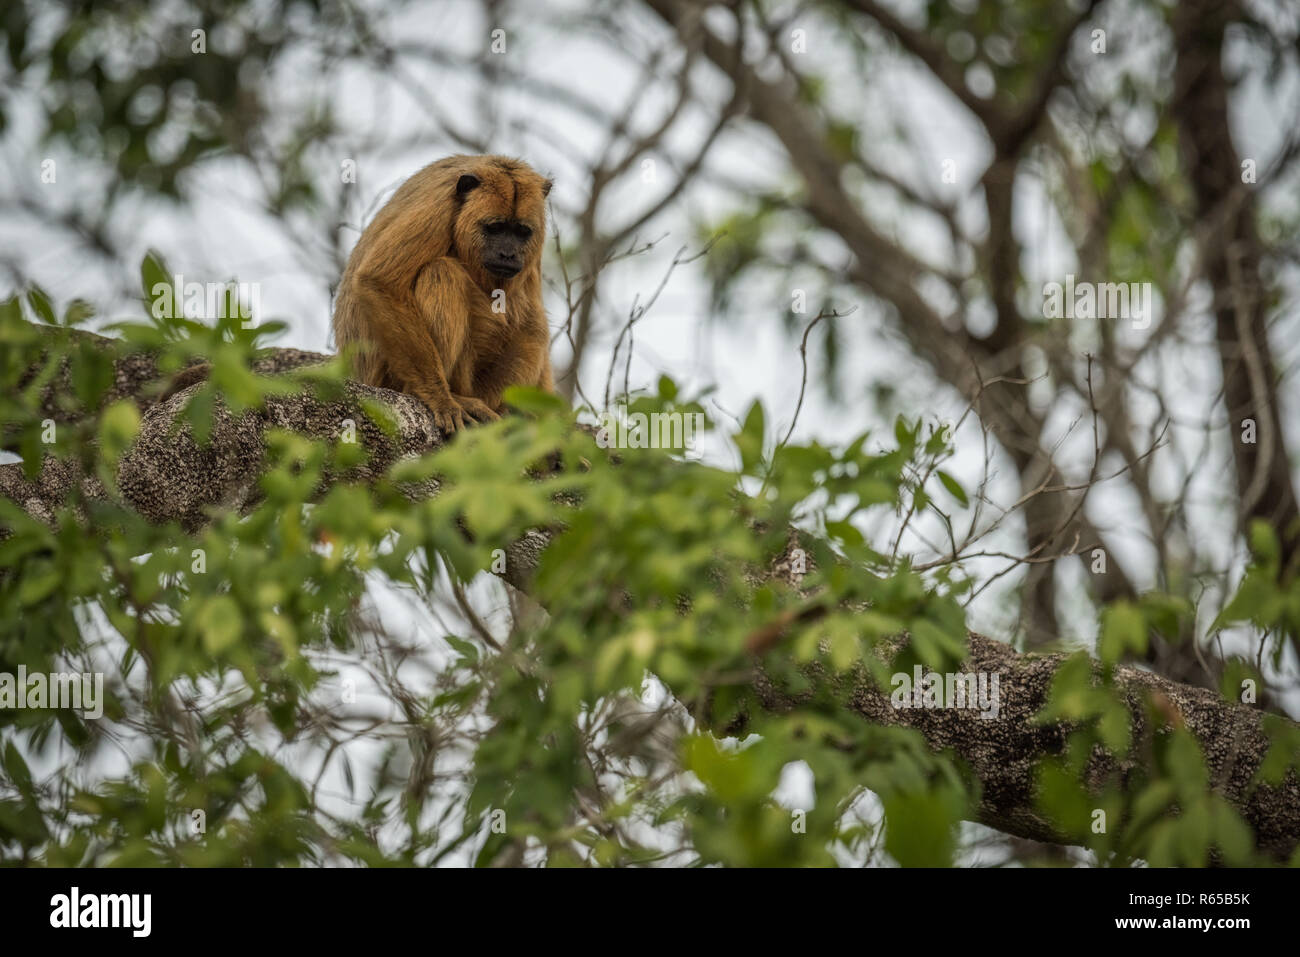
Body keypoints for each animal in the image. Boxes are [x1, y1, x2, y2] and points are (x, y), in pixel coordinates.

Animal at [331, 154, 555, 433]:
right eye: (495, 227)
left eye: (522, 232)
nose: (508, 254)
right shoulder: (437, 208)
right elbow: (379, 281)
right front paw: (440, 398)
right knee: (441, 273)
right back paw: (445, 396)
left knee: (533, 320)